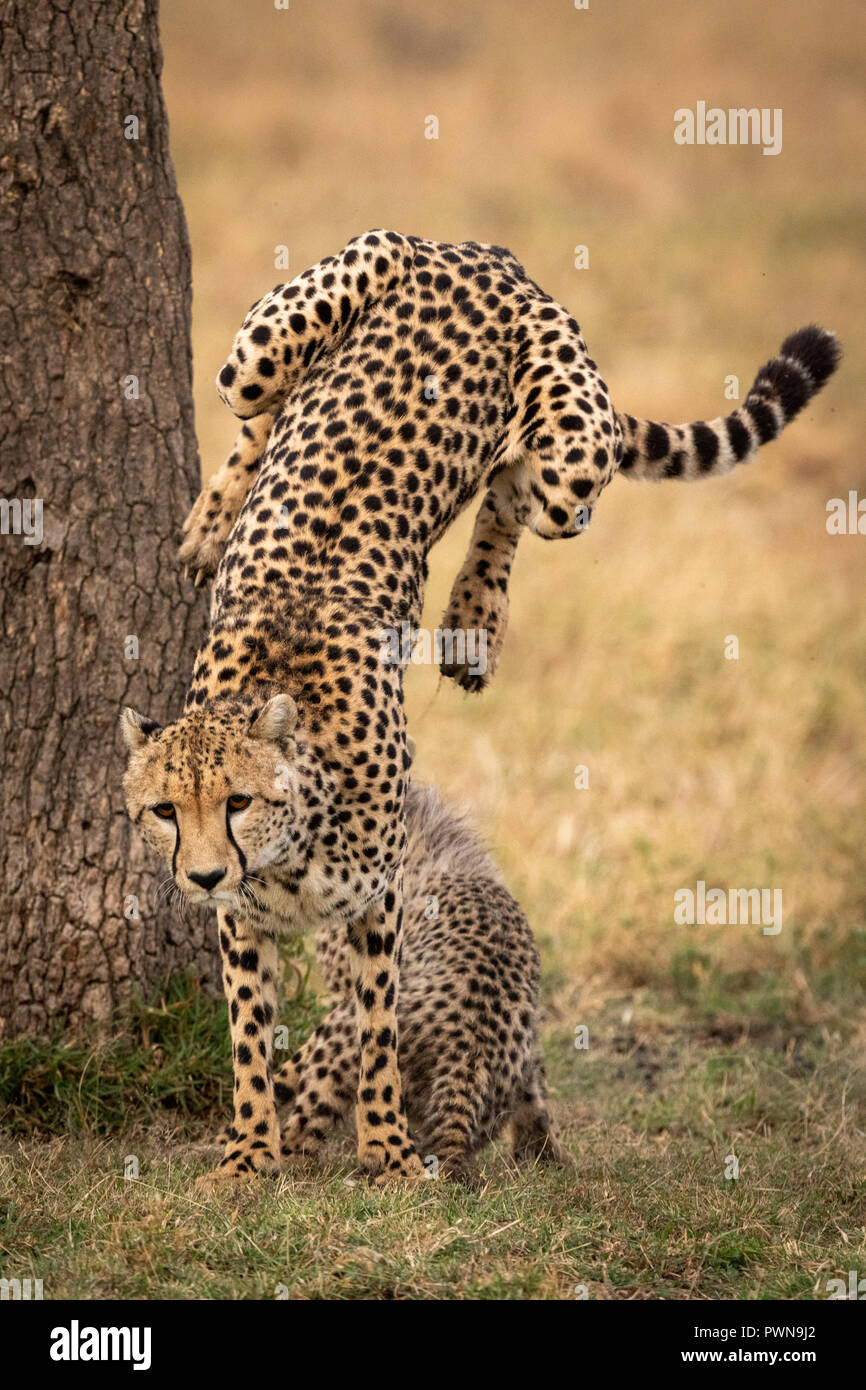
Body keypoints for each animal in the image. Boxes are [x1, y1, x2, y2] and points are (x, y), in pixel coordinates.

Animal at [124, 229, 839, 1188]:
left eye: (237, 801)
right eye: (165, 810)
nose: (201, 876)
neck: (285, 846)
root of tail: (475, 251)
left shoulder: (381, 905)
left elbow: (377, 1034)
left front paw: (388, 1156)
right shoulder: (243, 924)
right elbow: (248, 1043)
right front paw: (246, 1158)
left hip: (566, 449)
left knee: (514, 491)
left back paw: (472, 617)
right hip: (266, 352)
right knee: (265, 417)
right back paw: (211, 521)